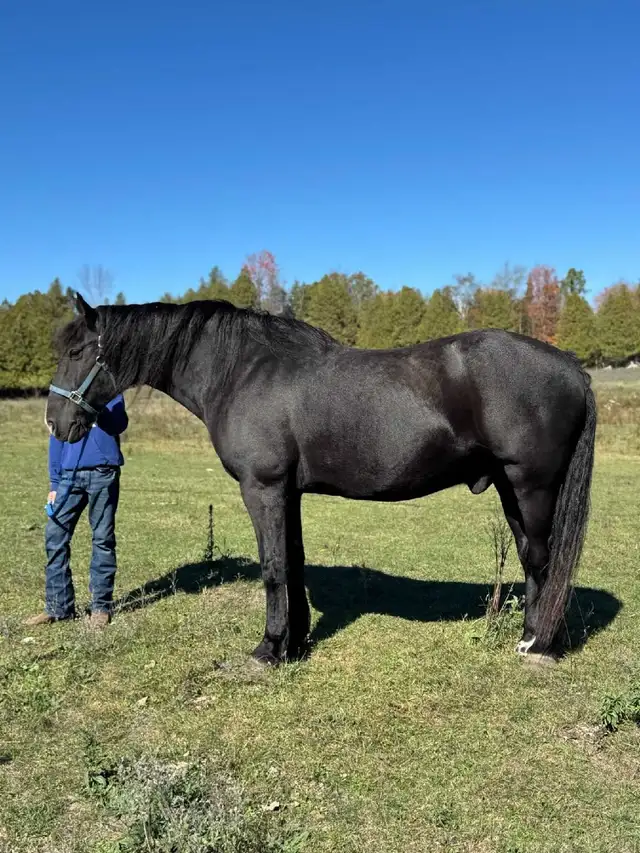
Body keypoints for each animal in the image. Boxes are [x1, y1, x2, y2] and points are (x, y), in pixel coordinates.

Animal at [45, 293, 596, 667]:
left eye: (76, 352)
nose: (56, 424)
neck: (243, 371)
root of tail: (573, 367)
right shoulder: (287, 493)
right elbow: (293, 562)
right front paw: (294, 641)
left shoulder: (263, 488)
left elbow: (273, 567)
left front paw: (268, 649)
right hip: (510, 489)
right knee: (531, 559)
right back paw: (528, 637)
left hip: (531, 487)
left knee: (544, 560)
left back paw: (540, 645)